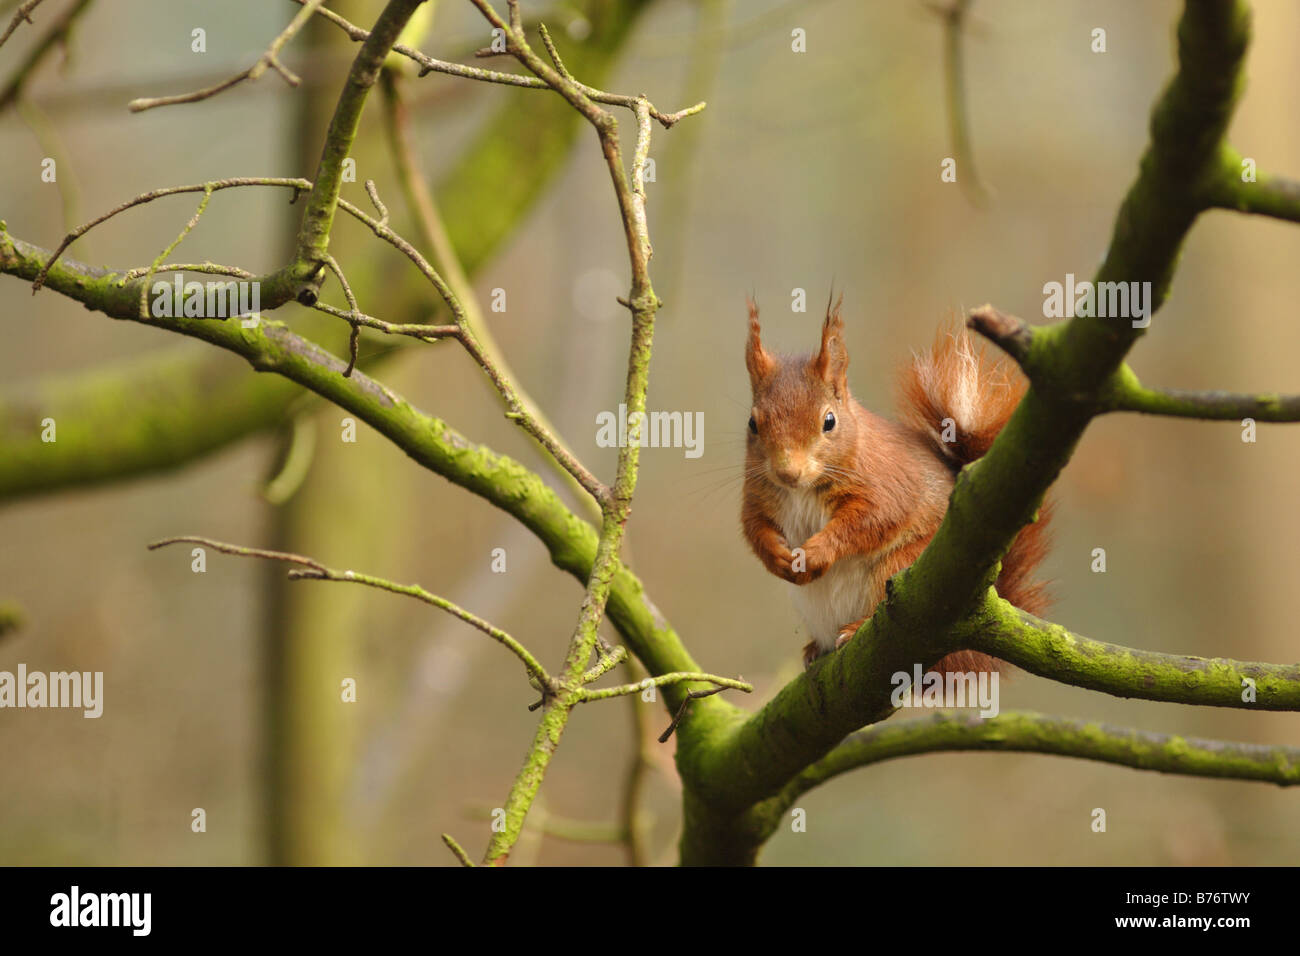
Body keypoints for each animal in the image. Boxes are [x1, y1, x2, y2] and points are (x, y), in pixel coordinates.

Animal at [740, 295, 1051, 674]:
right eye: (753, 424)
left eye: (829, 421)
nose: (788, 473)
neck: (802, 490)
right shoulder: (756, 495)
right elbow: (754, 528)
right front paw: (775, 555)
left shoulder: (886, 484)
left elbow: (869, 520)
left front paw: (817, 551)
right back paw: (814, 649)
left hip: (901, 567)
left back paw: (855, 628)